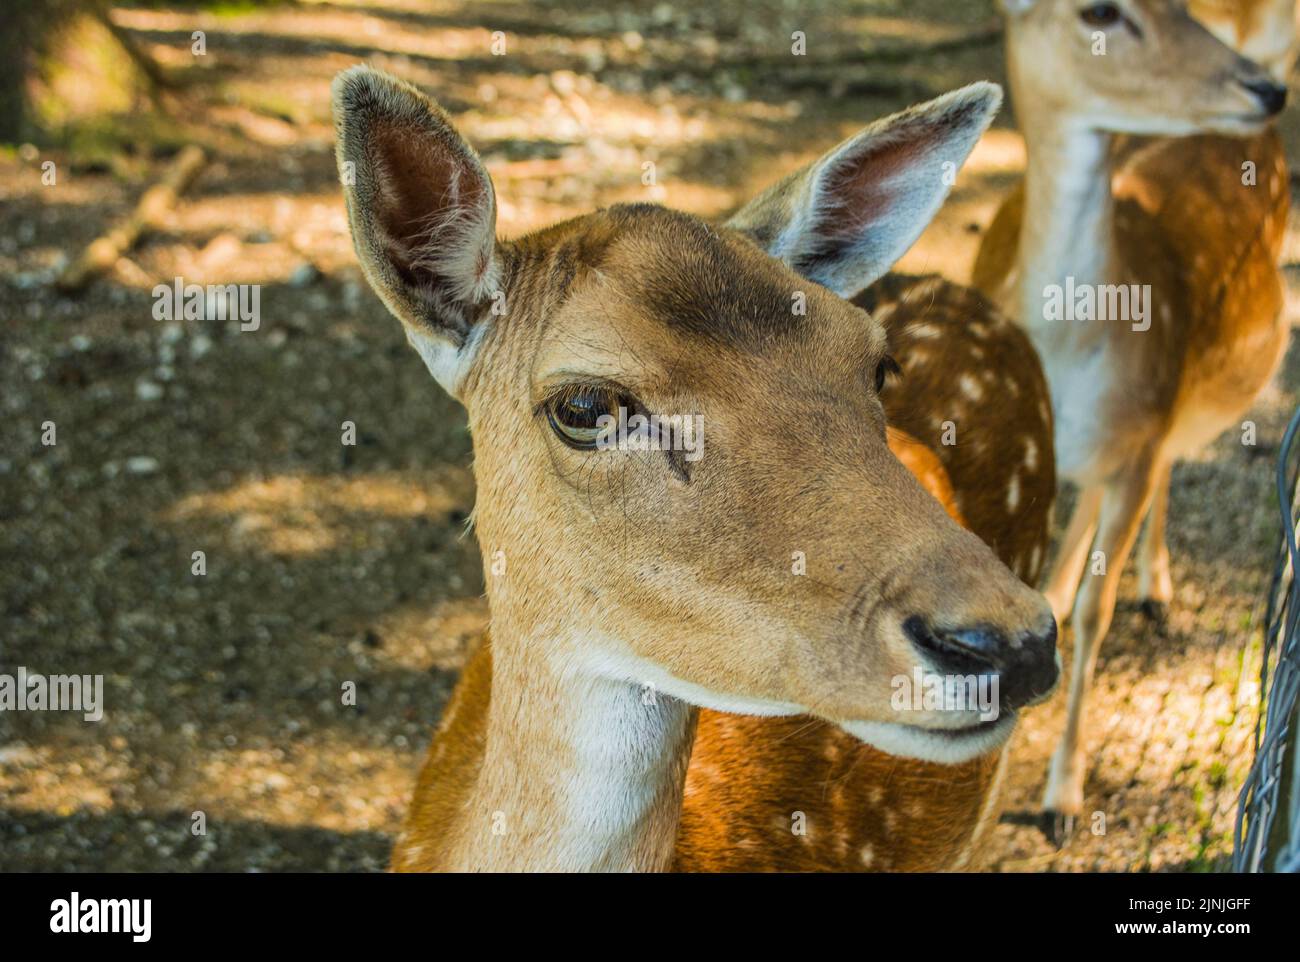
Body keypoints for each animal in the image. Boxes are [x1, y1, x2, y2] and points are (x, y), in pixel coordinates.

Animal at [971, 0, 1290, 842]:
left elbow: (1095, 610)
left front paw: (1062, 799)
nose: (1266, 87)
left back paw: (1158, 585)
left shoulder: (1142, 440)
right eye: (1100, 11)